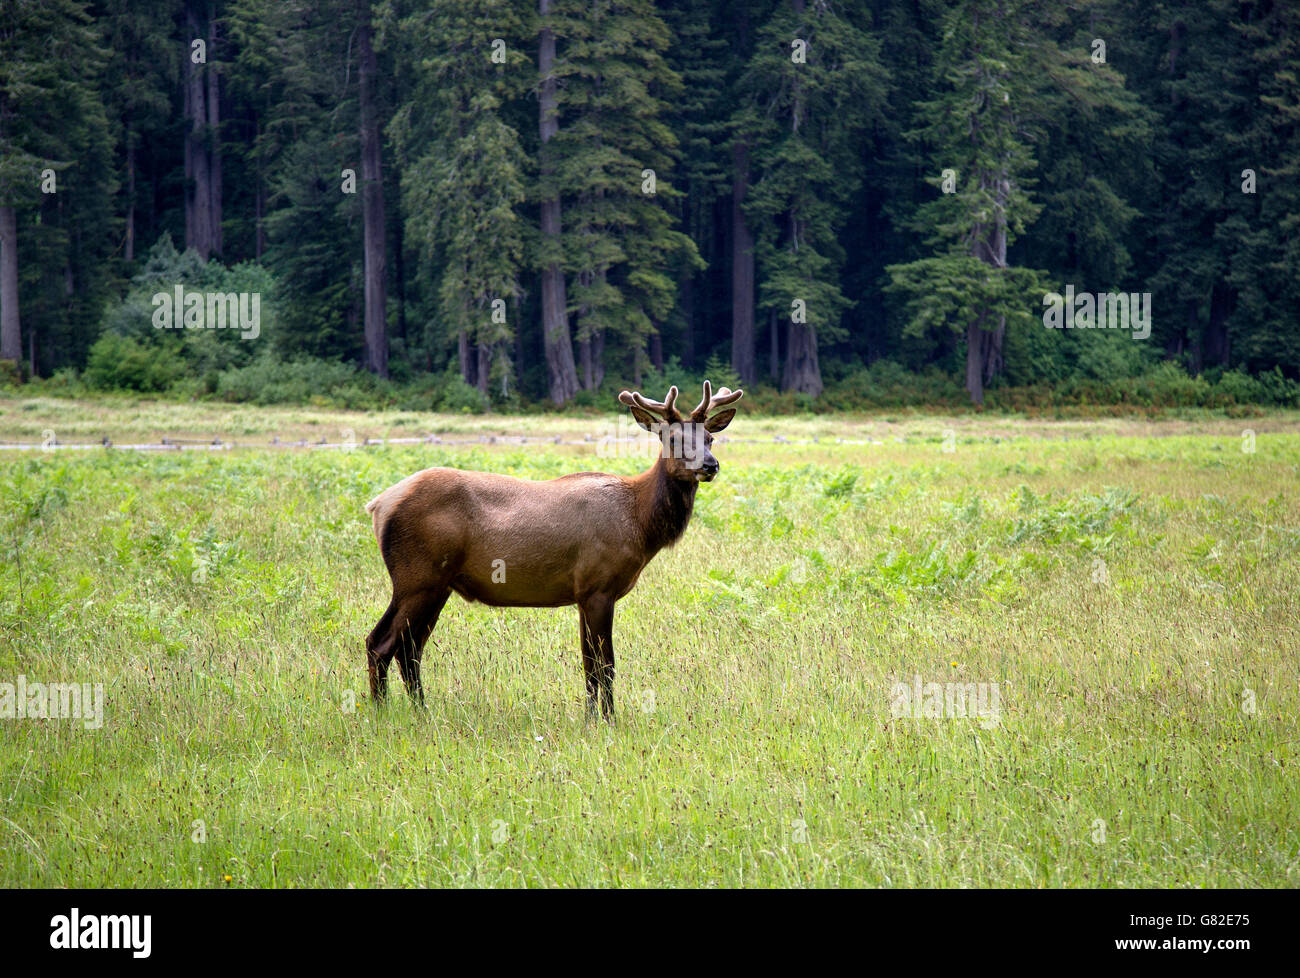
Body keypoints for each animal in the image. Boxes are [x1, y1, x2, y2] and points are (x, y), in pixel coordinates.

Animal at [363, 380, 743, 722]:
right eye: (673, 438)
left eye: (709, 438)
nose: (710, 465)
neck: (639, 524)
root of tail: (379, 504)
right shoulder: (598, 586)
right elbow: (605, 664)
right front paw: (608, 721)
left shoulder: (583, 593)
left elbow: (589, 663)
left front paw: (591, 718)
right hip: (416, 577)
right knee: (381, 642)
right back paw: (381, 713)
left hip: (438, 585)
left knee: (410, 648)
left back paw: (421, 711)